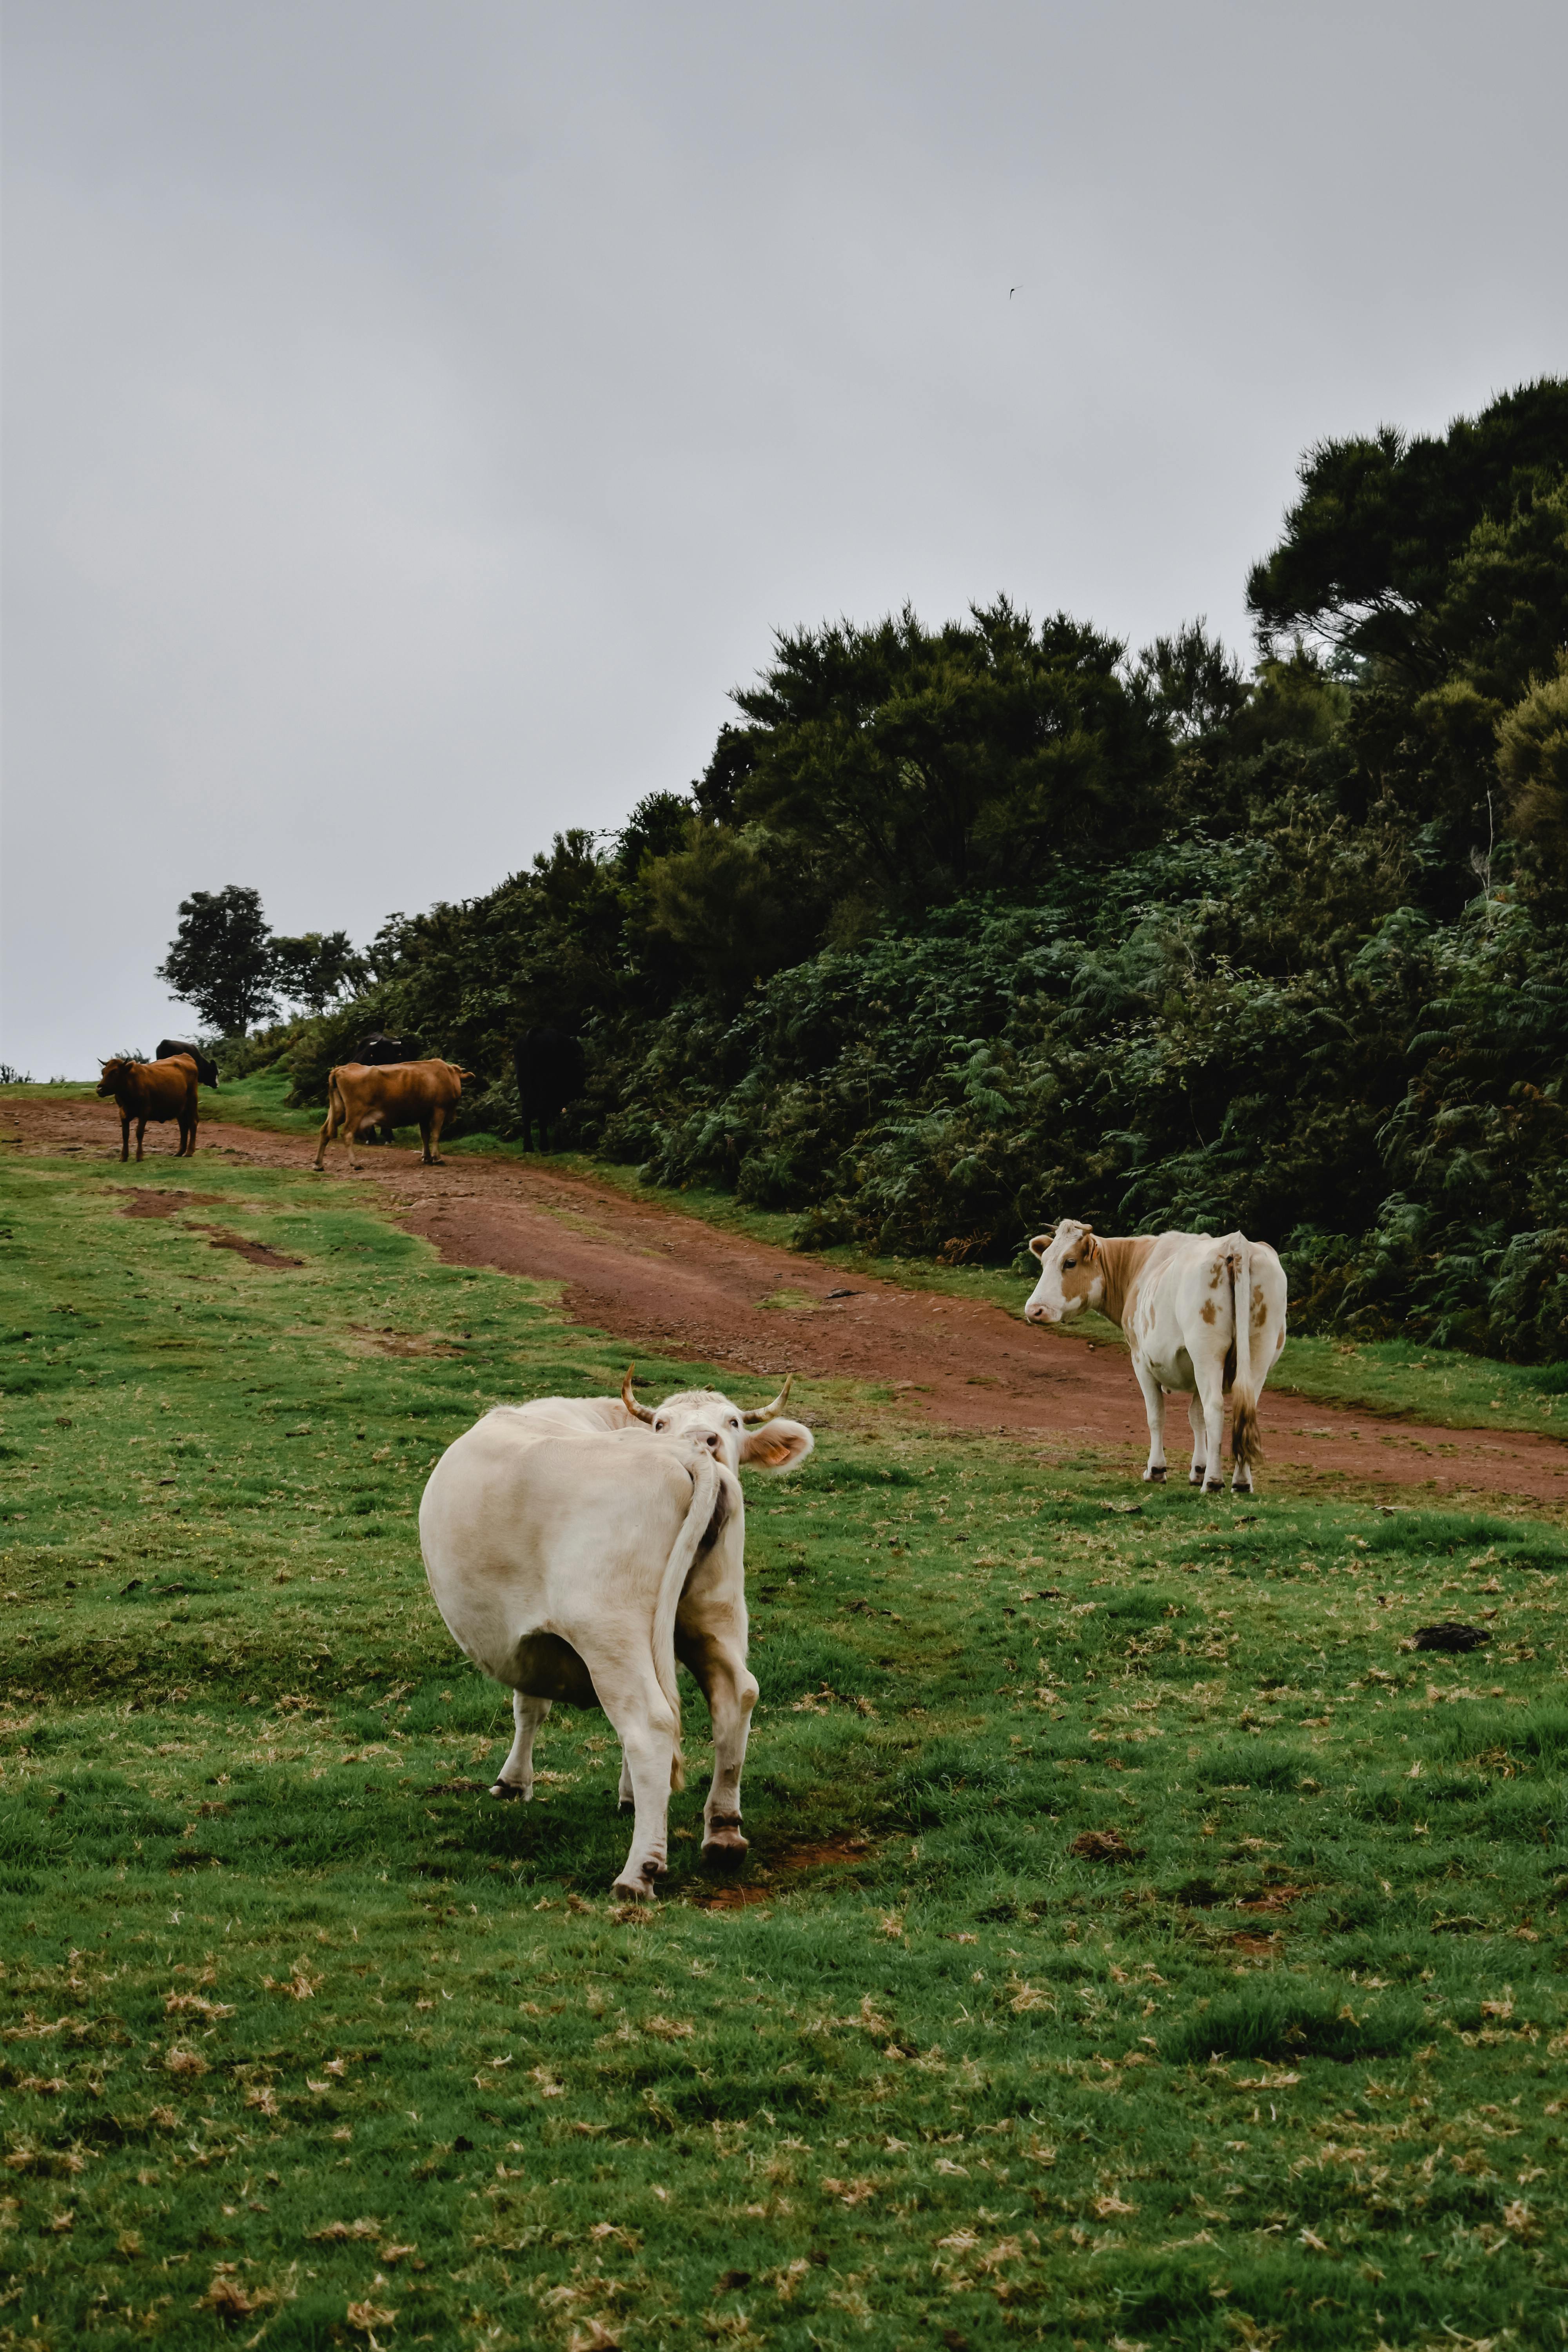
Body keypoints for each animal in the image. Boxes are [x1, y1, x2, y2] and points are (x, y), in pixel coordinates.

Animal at [97, 1054, 200, 1161]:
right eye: (103, 1072)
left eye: (115, 1072)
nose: (100, 1089)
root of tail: (185, 1056)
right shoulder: (123, 1113)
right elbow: (125, 1135)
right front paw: (124, 1157)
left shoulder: (145, 1111)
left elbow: (139, 1133)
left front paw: (139, 1156)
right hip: (180, 1109)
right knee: (183, 1127)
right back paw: (179, 1152)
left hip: (192, 1102)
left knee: (193, 1123)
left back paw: (190, 1152)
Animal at [313, 1059, 474, 1170]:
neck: (449, 1075)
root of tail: (342, 1068)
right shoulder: (438, 1110)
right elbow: (435, 1135)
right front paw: (437, 1158)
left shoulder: (423, 1115)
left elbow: (425, 1136)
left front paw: (427, 1157)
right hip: (355, 1112)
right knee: (347, 1134)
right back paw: (356, 1163)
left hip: (338, 1111)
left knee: (324, 1132)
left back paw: (319, 1164)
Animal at [419, 1368, 813, 1898]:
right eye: (661, 1420)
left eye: (733, 1421)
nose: (705, 1439)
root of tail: (685, 1458)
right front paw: (627, 1797)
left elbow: (530, 1706)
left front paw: (514, 1782)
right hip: (714, 1613)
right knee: (735, 1696)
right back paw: (723, 1834)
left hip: (609, 1631)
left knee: (649, 1723)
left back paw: (639, 1873)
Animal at [512, 1025, 586, 1153]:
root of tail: (535, 1031)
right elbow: (556, 1115)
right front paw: (559, 1143)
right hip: (546, 1082)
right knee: (542, 1111)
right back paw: (545, 1146)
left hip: (523, 1081)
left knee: (526, 1112)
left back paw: (528, 1147)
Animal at [1024, 1220, 1288, 1492]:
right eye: (1044, 1261)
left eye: (1070, 1262)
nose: (1034, 1310)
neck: (1138, 1265)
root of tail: (1235, 1243)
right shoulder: (1194, 1372)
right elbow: (1196, 1417)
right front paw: (1198, 1470)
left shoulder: (1141, 1360)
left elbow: (1156, 1416)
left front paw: (1157, 1470)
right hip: (1258, 1351)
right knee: (1245, 1409)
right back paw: (1242, 1482)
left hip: (1207, 1352)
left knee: (1214, 1408)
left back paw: (1213, 1482)